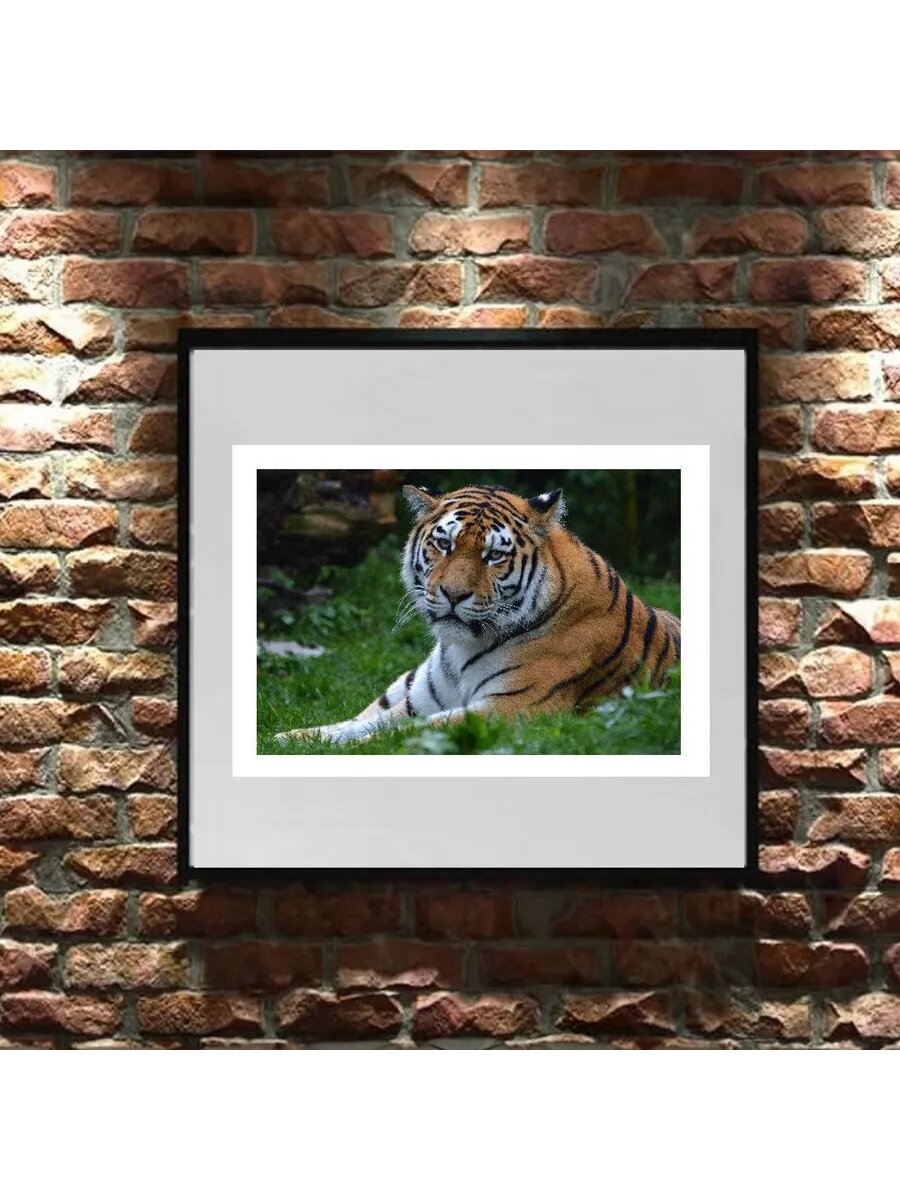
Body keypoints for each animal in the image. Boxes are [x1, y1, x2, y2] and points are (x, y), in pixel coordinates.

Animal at [275, 483, 680, 747]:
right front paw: (294, 738)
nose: (454, 594)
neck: (461, 648)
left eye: (494, 555)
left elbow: (406, 732)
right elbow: (364, 725)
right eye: (444, 544)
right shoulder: (418, 704)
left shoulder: (510, 708)